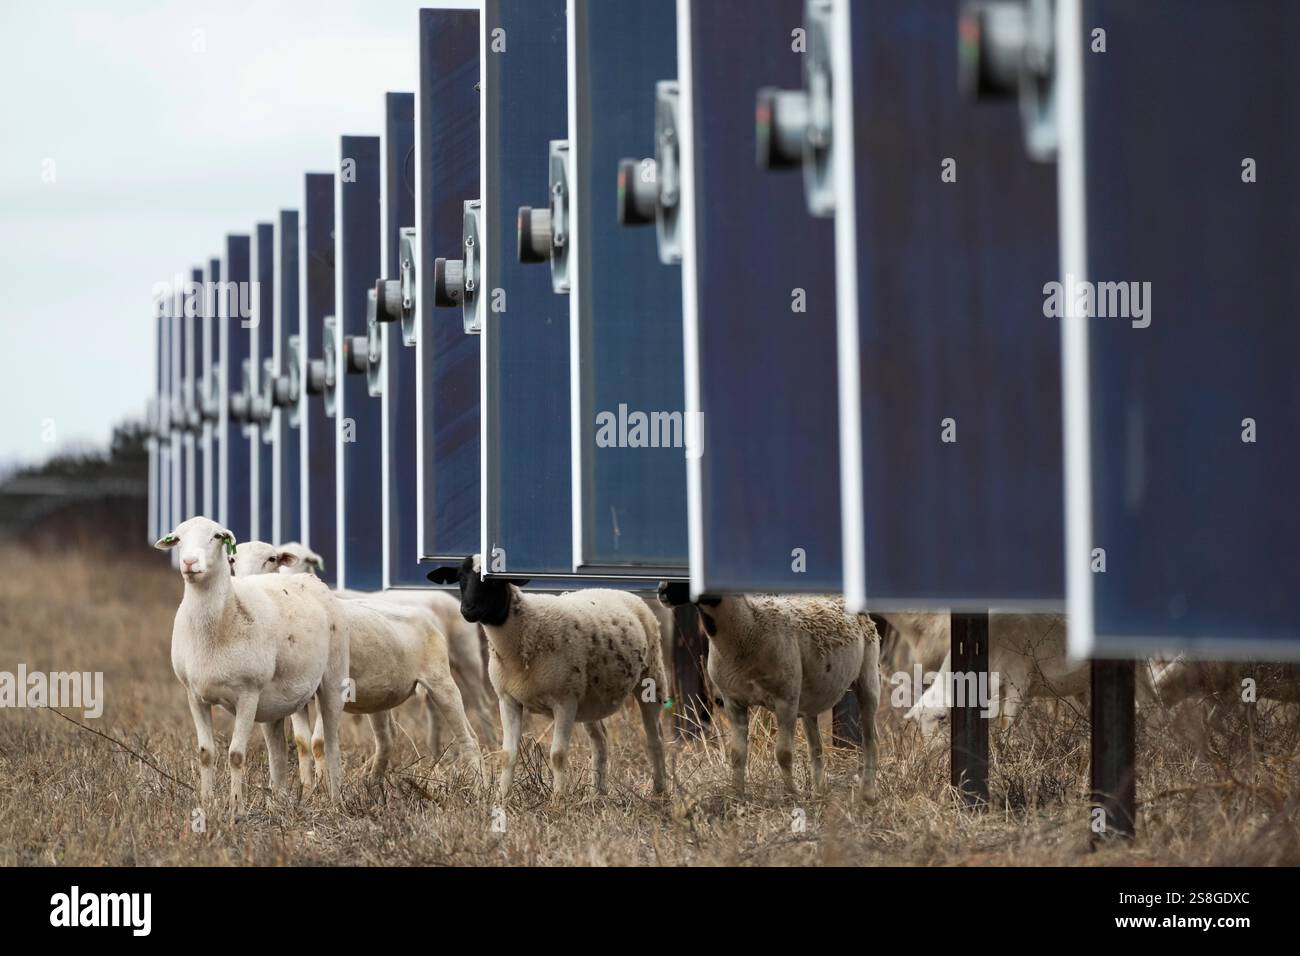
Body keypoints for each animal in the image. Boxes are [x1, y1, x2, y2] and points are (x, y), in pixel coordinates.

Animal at [155, 516, 348, 814]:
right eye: (176, 538)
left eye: (217, 536)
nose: (189, 562)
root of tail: (308, 578)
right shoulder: (194, 694)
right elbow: (205, 752)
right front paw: (206, 802)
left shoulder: (247, 693)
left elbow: (236, 755)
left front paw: (236, 808)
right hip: (276, 701)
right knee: (279, 750)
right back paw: (281, 801)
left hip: (332, 680)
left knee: (330, 743)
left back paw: (335, 800)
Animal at [231, 541, 485, 783]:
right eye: (232, 559)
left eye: (271, 559)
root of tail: (425, 615)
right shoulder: (296, 697)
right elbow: (303, 742)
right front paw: (308, 788)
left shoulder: (329, 689)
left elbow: (319, 742)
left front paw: (322, 787)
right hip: (381, 694)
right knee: (388, 737)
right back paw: (371, 783)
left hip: (443, 679)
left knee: (470, 736)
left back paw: (479, 786)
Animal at [427, 555, 668, 803]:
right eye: (460, 578)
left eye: (493, 581)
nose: (467, 610)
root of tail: (619, 592)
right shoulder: (508, 700)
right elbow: (507, 754)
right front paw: (502, 798)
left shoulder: (564, 701)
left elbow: (558, 755)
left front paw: (558, 800)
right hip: (589, 697)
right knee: (600, 739)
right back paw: (597, 793)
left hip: (652, 677)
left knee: (655, 739)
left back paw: (660, 791)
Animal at [658, 583, 881, 802]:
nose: (661, 590)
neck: (747, 626)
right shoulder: (733, 701)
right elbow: (737, 754)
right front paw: (737, 796)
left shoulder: (786, 699)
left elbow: (783, 753)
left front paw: (792, 795)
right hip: (809, 700)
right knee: (816, 748)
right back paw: (819, 794)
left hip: (868, 677)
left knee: (871, 740)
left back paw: (868, 793)